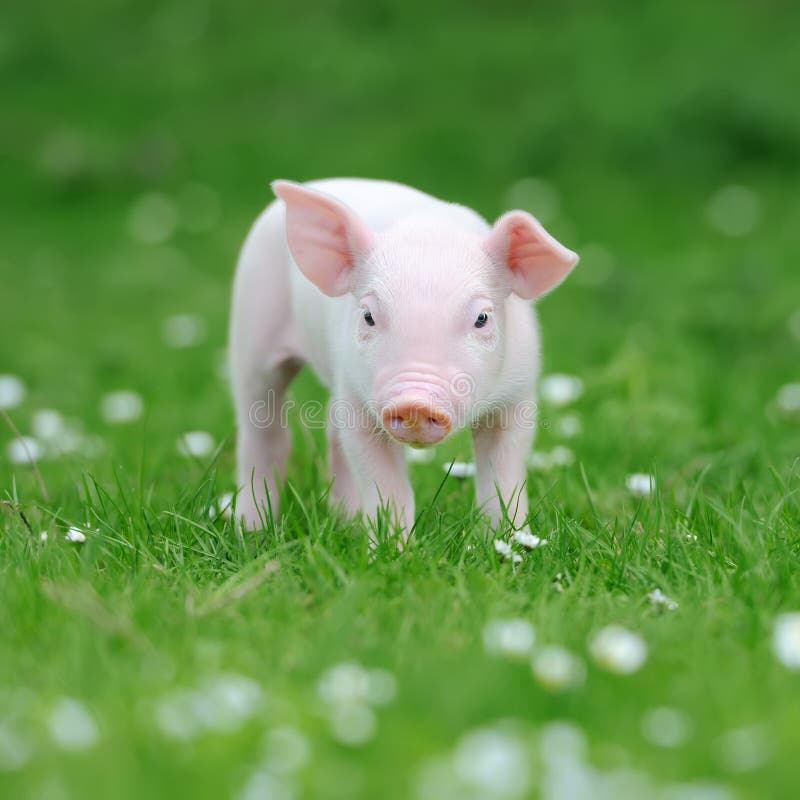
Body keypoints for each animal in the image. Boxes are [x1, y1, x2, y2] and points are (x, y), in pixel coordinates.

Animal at [229, 178, 578, 537]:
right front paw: (391, 546)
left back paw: (346, 522)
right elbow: (386, 483)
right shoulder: (358, 399)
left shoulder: (517, 395)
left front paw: (508, 540)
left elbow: (504, 476)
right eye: (368, 316)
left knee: (329, 429)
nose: (415, 403)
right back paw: (251, 532)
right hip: (250, 326)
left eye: (482, 318)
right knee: (263, 433)